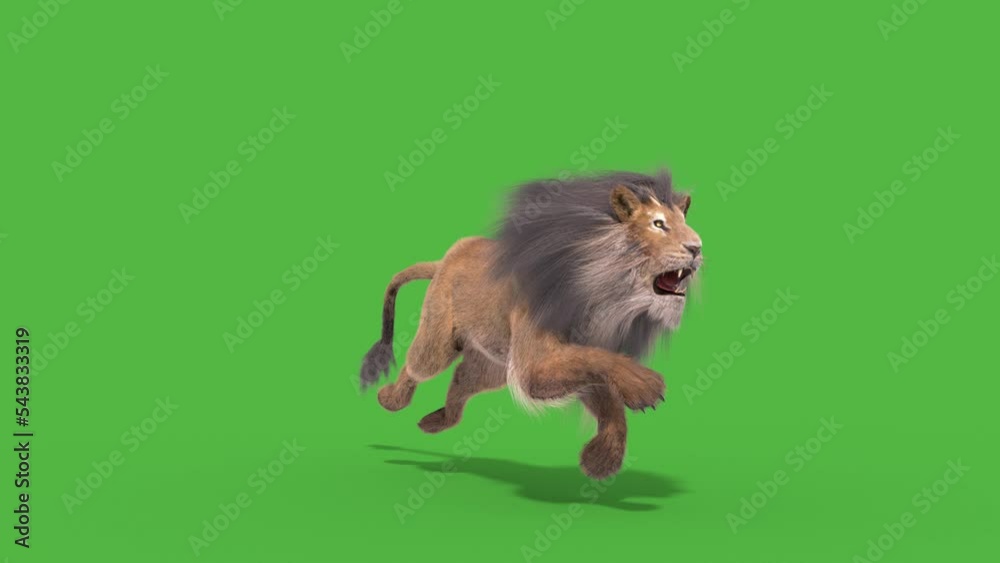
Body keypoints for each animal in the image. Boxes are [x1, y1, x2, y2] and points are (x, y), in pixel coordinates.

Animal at [360, 170, 703, 479]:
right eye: (658, 224)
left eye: (684, 222)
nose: (697, 248)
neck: (608, 290)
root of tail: (446, 257)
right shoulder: (535, 365)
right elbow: (598, 362)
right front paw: (644, 386)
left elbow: (603, 390)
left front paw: (602, 459)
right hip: (438, 341)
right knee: (416, 366)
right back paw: (390, 398)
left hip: (490, 363)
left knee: (461, 379)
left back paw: (436, 420)